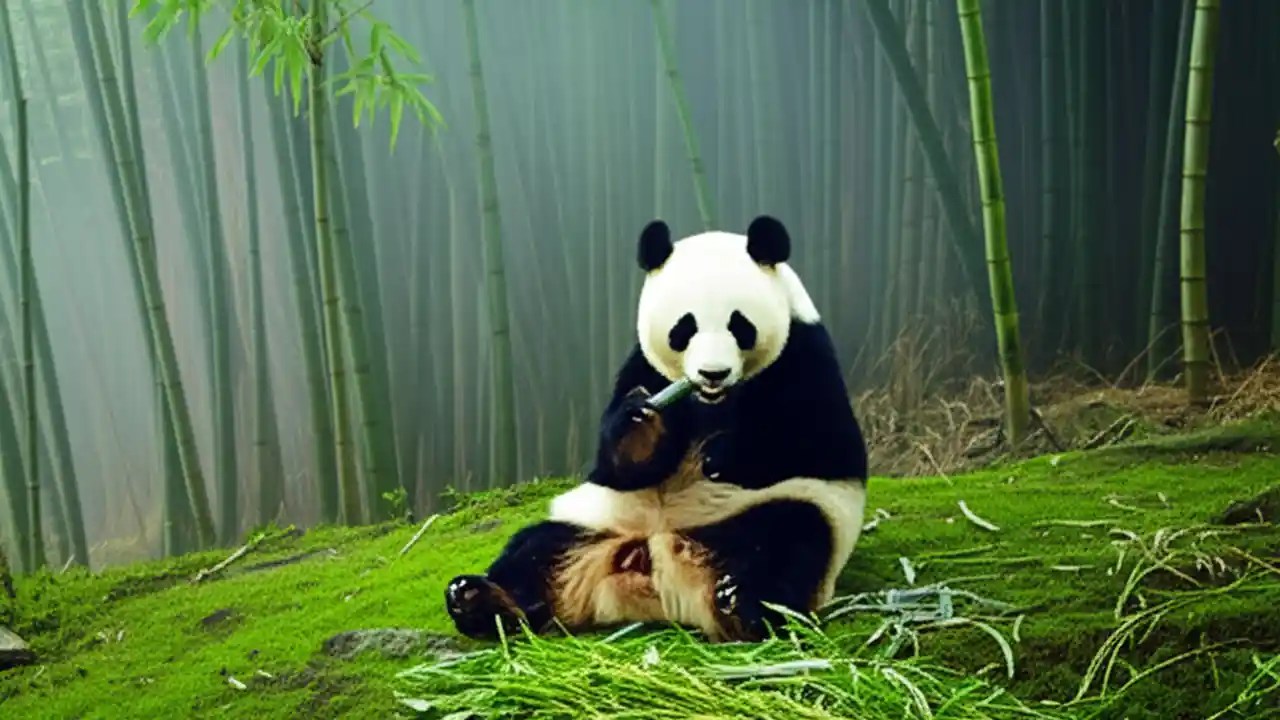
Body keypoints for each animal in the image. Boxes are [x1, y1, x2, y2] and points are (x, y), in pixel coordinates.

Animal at [444, 215, 869, 643]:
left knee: (789, 542)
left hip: (785, 513)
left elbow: (822, 443)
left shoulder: (805, 356)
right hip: (591, 520)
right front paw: (641, 425)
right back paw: (478, 600)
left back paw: (742, 604)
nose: (712, 373)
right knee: (532, 551)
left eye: (739, 325)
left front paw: (722, 456)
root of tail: (659, 582)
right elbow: (616, 466)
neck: (711, 401)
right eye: (685, 328)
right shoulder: (642, 366)